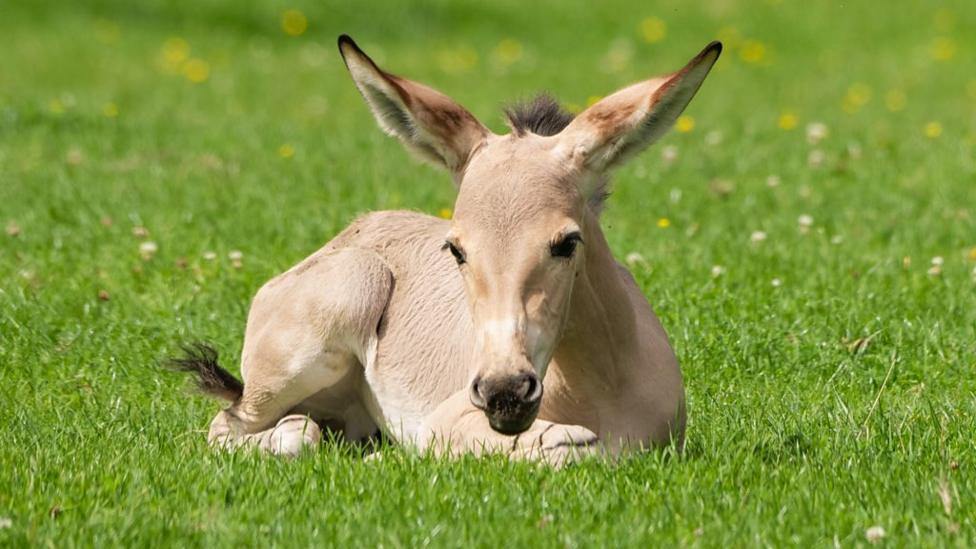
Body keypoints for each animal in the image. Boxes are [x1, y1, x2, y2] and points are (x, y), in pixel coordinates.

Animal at [172, 35, 722, 464]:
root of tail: (350, 236)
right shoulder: (446, 423)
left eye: (567, 243)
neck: (601, 391)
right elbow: (567, 446)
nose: (504, 393)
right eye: (456, 250)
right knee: (246, 428)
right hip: (327, 321)